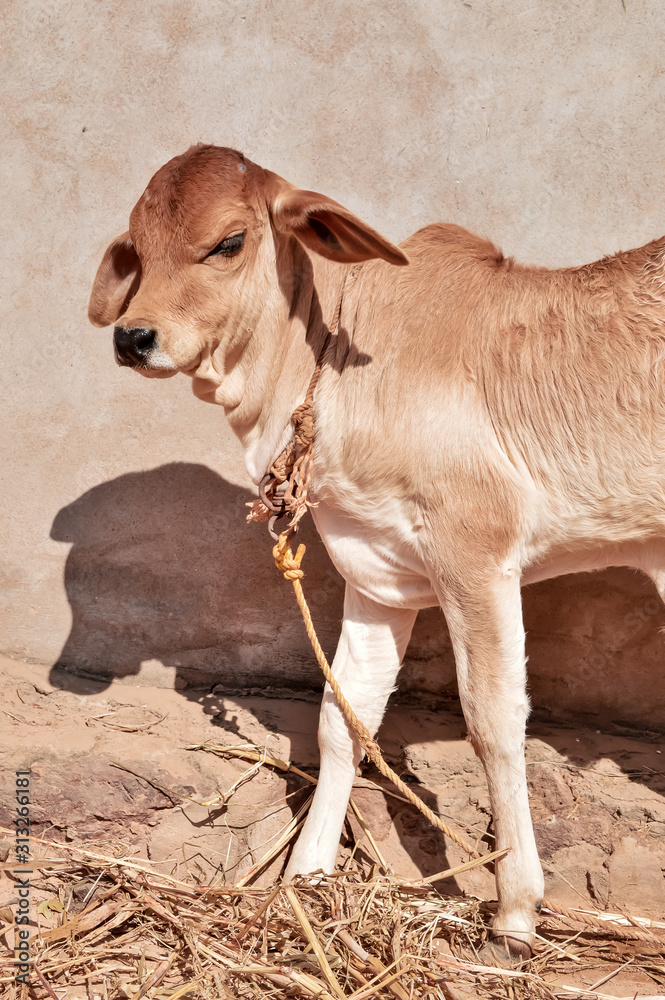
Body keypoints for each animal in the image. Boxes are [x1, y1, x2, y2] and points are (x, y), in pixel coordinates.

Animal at [89, 143, 665, 961]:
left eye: (229, 242)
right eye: (136, 248)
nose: (132, 338)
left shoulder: (474, 554)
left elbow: (493, 721)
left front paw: (515, 911)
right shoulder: (377, 574)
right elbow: (343, 718)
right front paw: (305, 877)